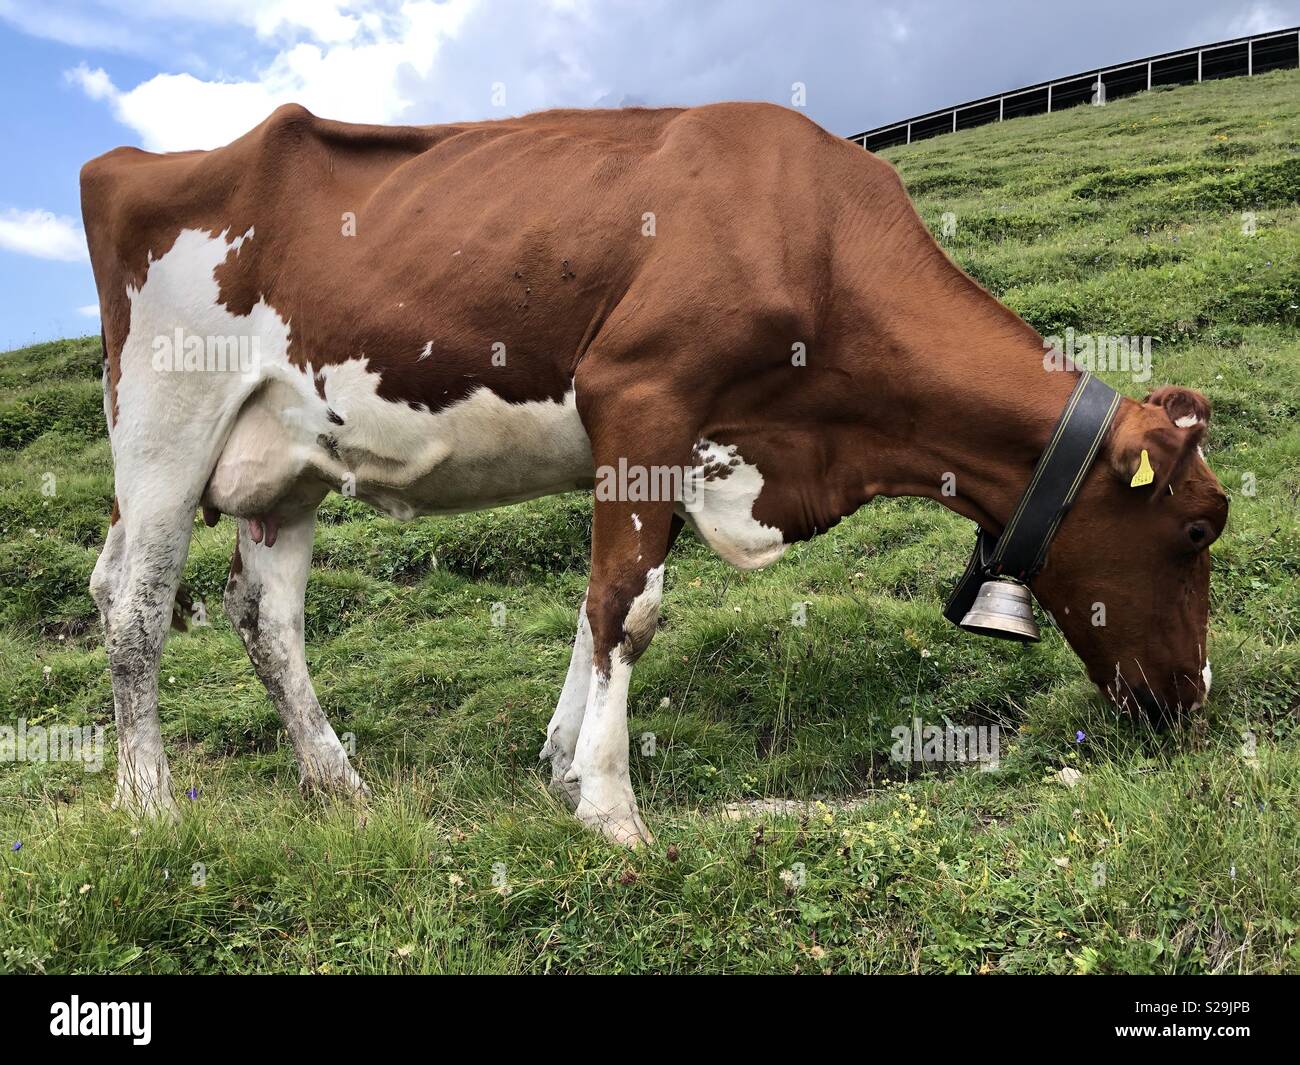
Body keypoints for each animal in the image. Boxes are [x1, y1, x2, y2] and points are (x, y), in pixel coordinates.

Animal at [80, 102, 1228, 846]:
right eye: (1199, 527)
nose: (1193, 702)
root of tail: (135, 162)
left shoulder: (676, 447)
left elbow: (603, 608)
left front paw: (560, 765)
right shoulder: (642, 394)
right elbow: (626, 608)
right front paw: (611, 810)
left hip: (285, 464)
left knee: (261, 615)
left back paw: (339, 790)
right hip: (164, 424)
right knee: (134, 601)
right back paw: (149, 805)